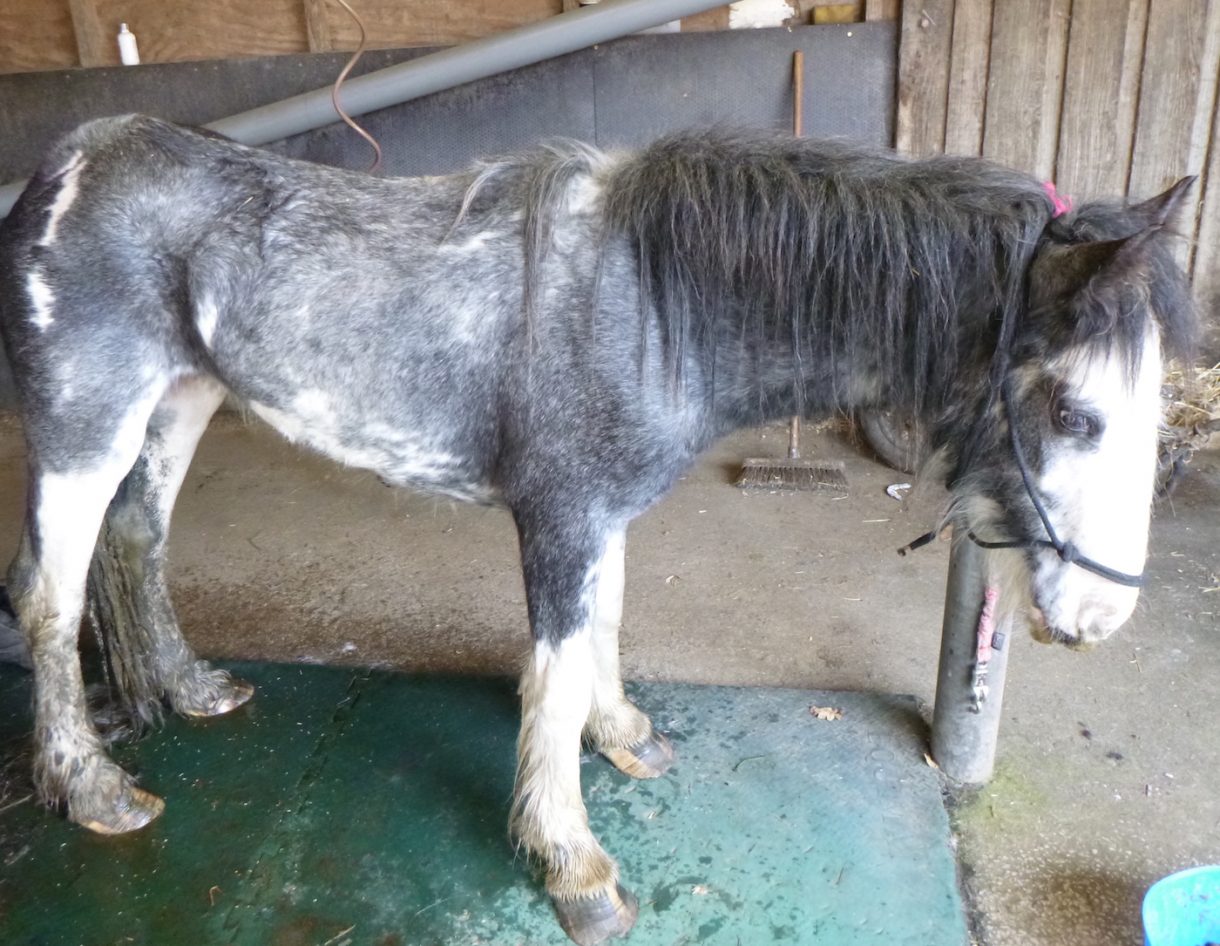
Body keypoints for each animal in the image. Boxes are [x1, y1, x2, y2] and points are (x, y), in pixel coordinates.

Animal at [0, 114, 1196, 945]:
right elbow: (553, 668)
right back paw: (93, 788)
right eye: (1071, 412)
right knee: (49, 596)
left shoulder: (603, 515)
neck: (654, 307)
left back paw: (188, 689)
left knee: (138, 542)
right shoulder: (561, 519)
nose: (1100, 615)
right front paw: (571, 861)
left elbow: (601, 635)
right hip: (82, 432)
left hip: (181, 404)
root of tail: (64, 164)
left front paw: (620, 734)